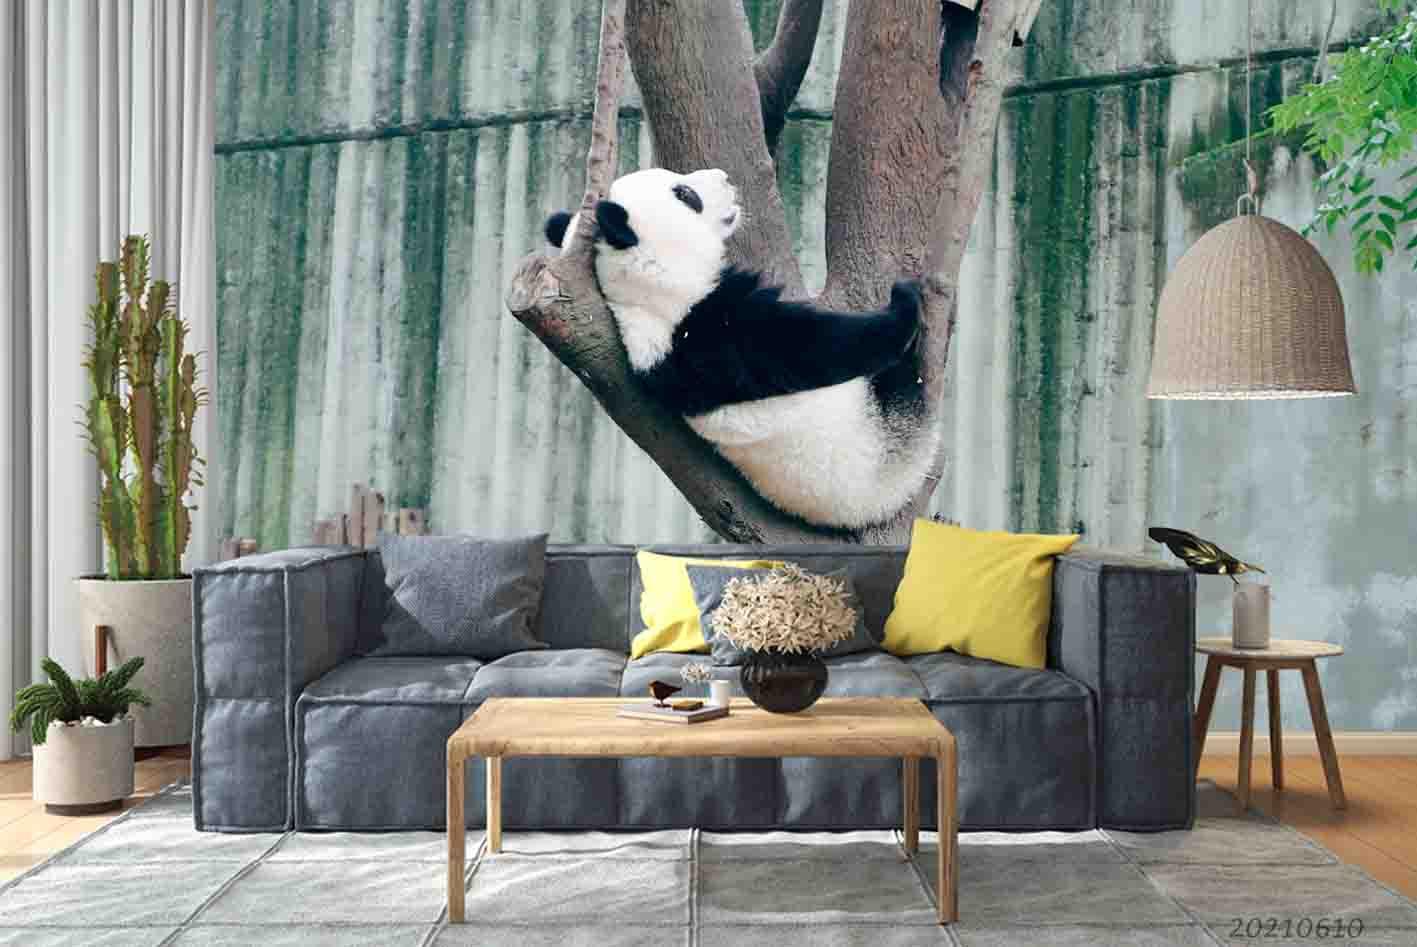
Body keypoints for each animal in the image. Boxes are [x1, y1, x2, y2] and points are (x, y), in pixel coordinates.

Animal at [544, 167, 940, 530]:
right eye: (685, 194)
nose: (723, 176)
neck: (645, 288)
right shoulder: (709, 331)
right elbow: (813, 346)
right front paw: (902, 307)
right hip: (886, 437)